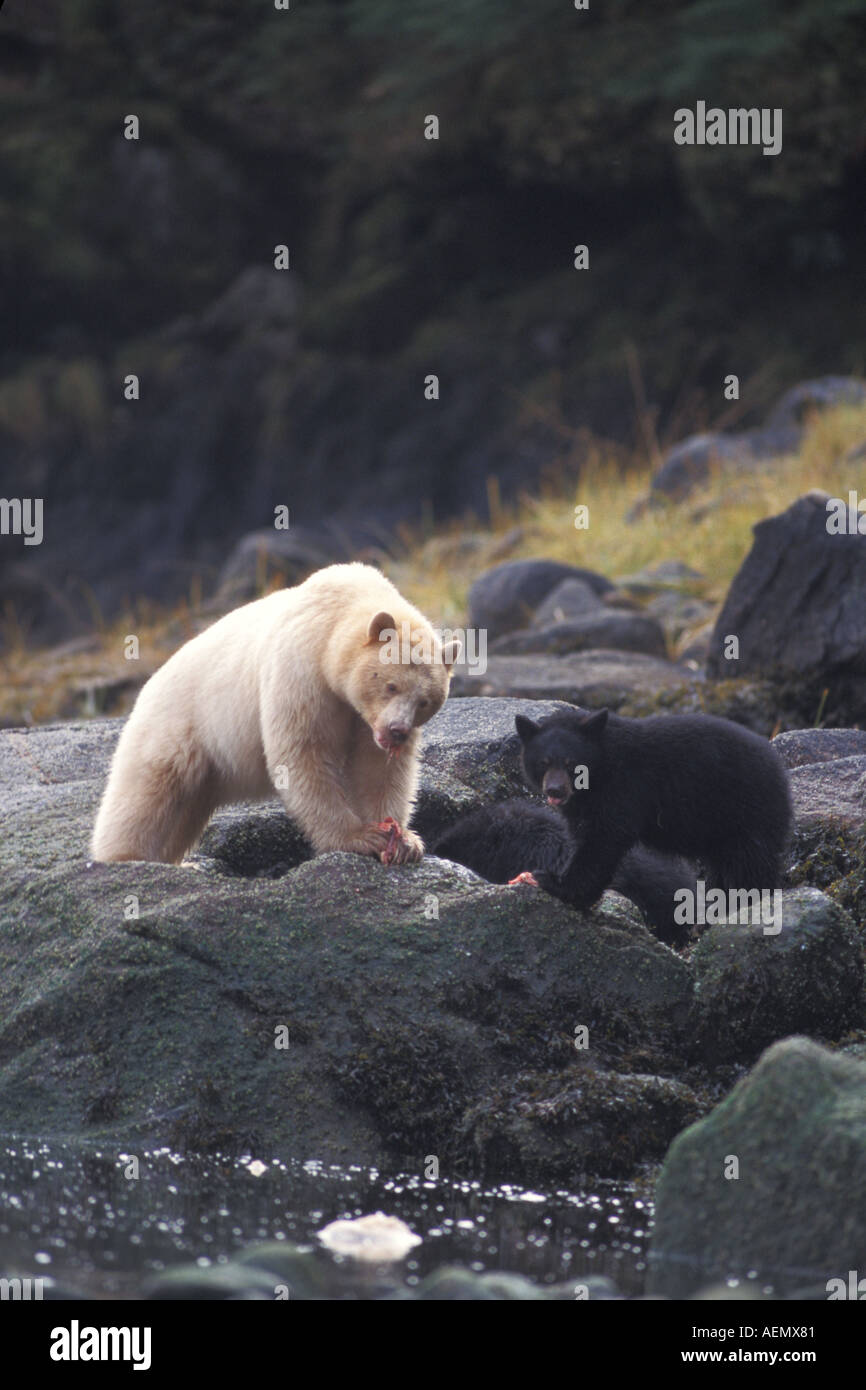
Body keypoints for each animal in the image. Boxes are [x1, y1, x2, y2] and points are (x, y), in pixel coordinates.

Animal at [91, 562, 461, 865]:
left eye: (425, 701)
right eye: (390, 686)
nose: (397, 731)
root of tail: (152, 680)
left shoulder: (363, 719)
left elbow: (379, 768)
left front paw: (403, 841)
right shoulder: (302, 672)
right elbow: (303, 754)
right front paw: (360, 838)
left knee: (185, 810)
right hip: (177, 723)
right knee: (147, 790)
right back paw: (124, 857)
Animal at [513, 707, 792, 911]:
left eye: (571, 763)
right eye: (543, 762)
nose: (555, 790)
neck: (603, 769)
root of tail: (780, 769)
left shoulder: (624, 790)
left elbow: (602, 842)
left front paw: (552, 882)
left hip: (749, 814)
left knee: (749, 866)